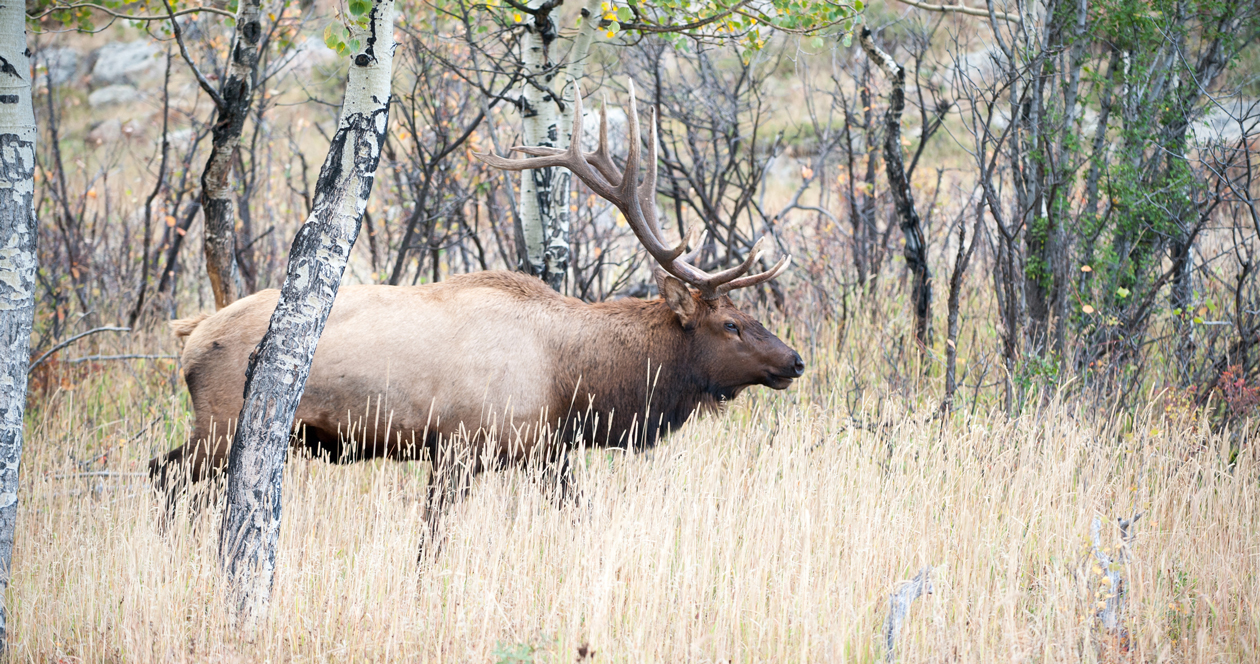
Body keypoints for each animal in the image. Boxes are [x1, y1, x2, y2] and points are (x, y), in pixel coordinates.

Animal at [148, 81, 803, 535]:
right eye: (731, 324)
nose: (795, 361)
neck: (572, 382)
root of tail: (190, 334)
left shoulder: (546, 452)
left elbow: (577, 514)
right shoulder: (460, 446)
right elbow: (432, 536)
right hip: (223, 424)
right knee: (164, 475)